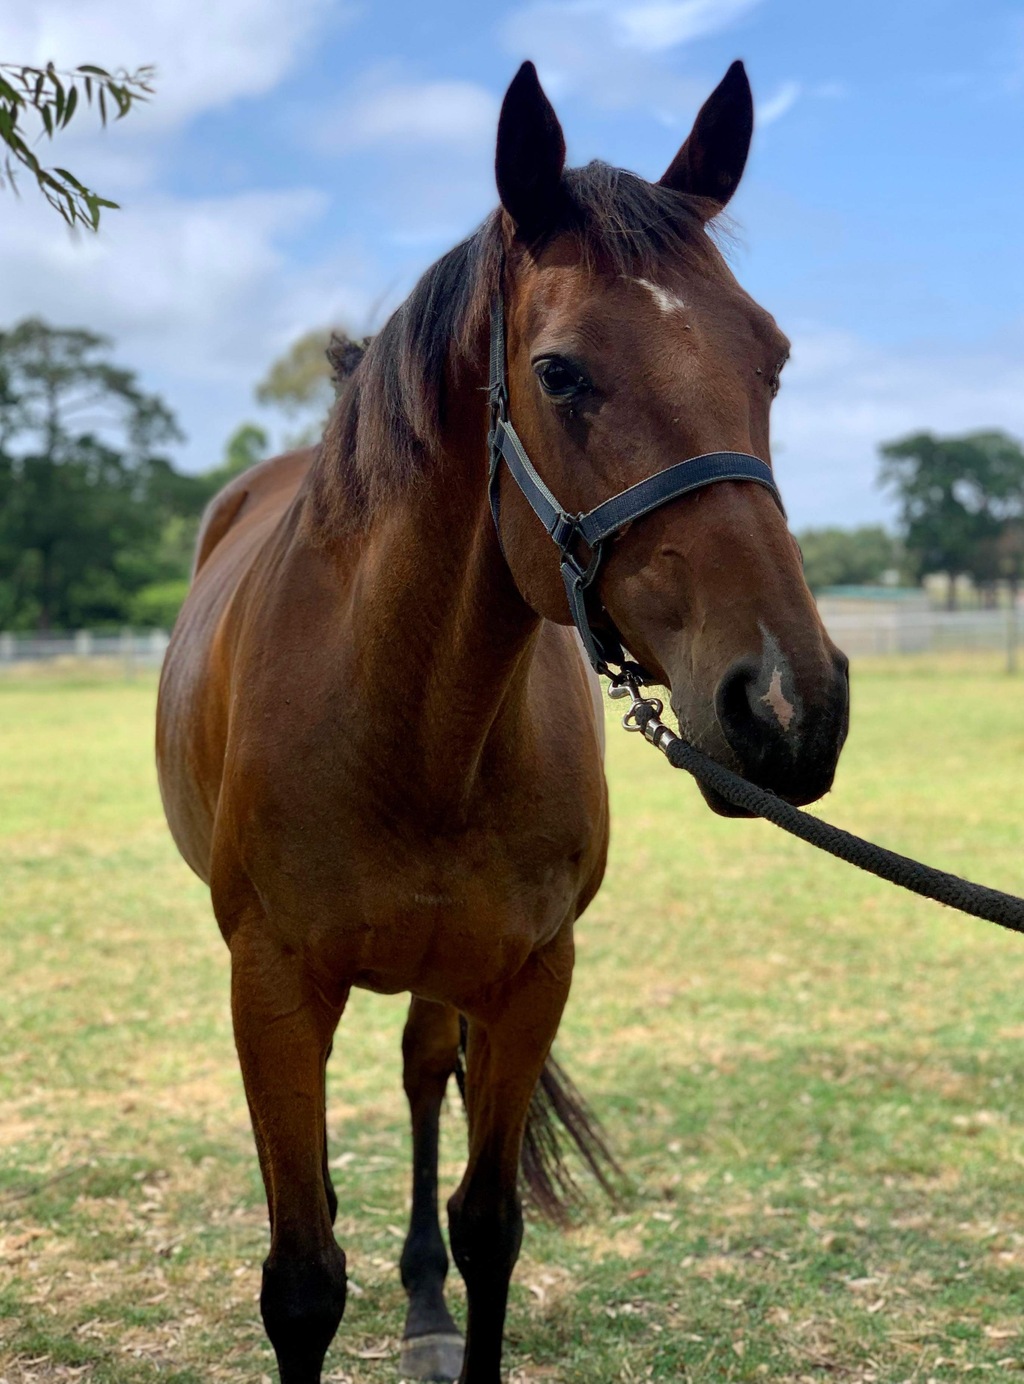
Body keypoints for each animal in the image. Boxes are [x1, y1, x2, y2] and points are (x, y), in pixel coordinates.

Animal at [156, 58, 850, 1384]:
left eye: (775, 358)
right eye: (561, 370)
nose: (791, 706)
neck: (408, 722)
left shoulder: (532, 972)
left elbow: (489, 1227)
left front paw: (445, 1292)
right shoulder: (269, 980)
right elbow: (300, 1279)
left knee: (424, 1076)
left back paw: (419, 1297)